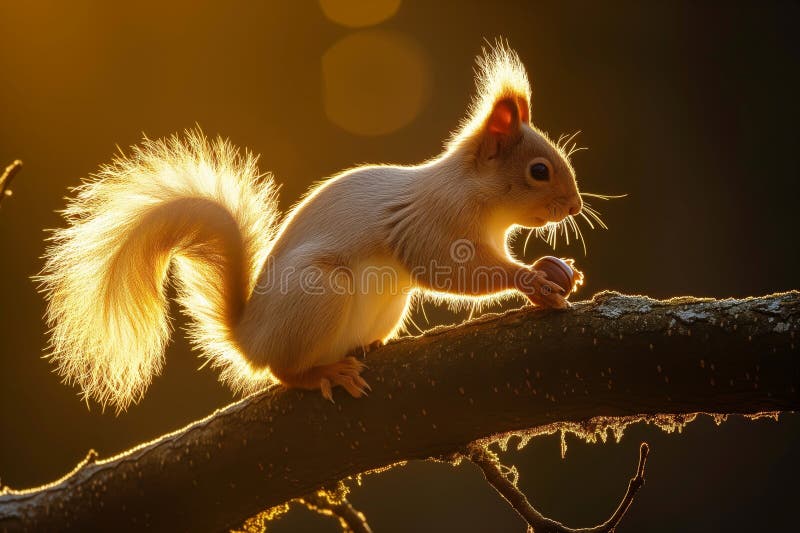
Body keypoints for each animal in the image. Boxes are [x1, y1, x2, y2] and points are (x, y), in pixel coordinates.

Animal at [38, 42, 584, 412]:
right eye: (539, 171)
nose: (576, 205)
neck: (475, 194)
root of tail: (250, 337)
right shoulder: (430, 224)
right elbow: (450, 271)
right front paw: (531, 279)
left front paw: (559, 271)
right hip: (322, 292)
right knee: (282, 372)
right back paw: (328, 372)